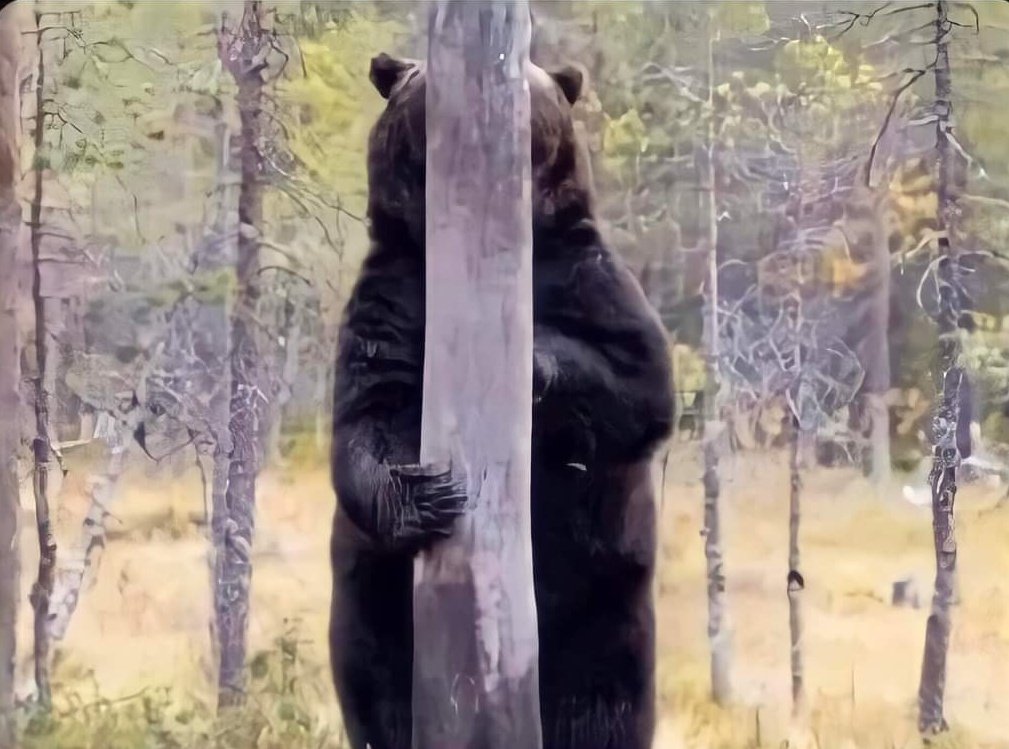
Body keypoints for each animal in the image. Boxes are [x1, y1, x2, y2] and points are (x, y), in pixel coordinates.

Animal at [329, 51, 675, 749]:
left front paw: (532, 358)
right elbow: (368, 414)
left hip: (604, 608)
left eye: (529, 77)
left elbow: (640, 381)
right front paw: (429, 494)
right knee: (380, 696)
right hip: (373, 610)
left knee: (603, 706)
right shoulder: (395, 295)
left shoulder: (587, 276)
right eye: (420, 76)